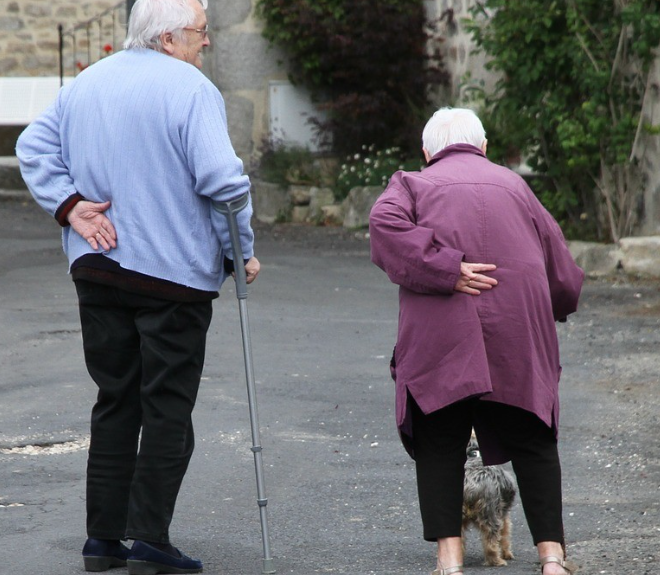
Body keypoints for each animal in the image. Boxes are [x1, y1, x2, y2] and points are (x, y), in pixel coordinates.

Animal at [464, 436, 516, 568]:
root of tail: (471, 486)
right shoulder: (503, 514)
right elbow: (505, 535)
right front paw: (507, 553)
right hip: (490, 511)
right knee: (491, 540)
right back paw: (497, 561)